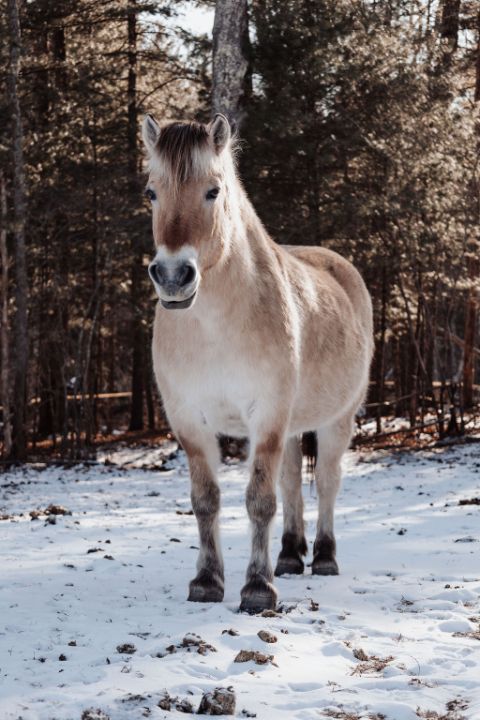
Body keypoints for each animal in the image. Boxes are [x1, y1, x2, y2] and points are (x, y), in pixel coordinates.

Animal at [142, 113, 373, 613]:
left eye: (213, 191)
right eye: (151, 192)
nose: (172, 276)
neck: (214, 328)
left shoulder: (265, 417)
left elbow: (259, 500)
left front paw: (256, 589)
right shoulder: (189, 422)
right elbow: (206, 500)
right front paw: (207, 582)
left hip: (337, 420)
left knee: (327, 481)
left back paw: (323, 557)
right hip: (290, 427)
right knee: (292, 483)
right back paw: (288, 555)